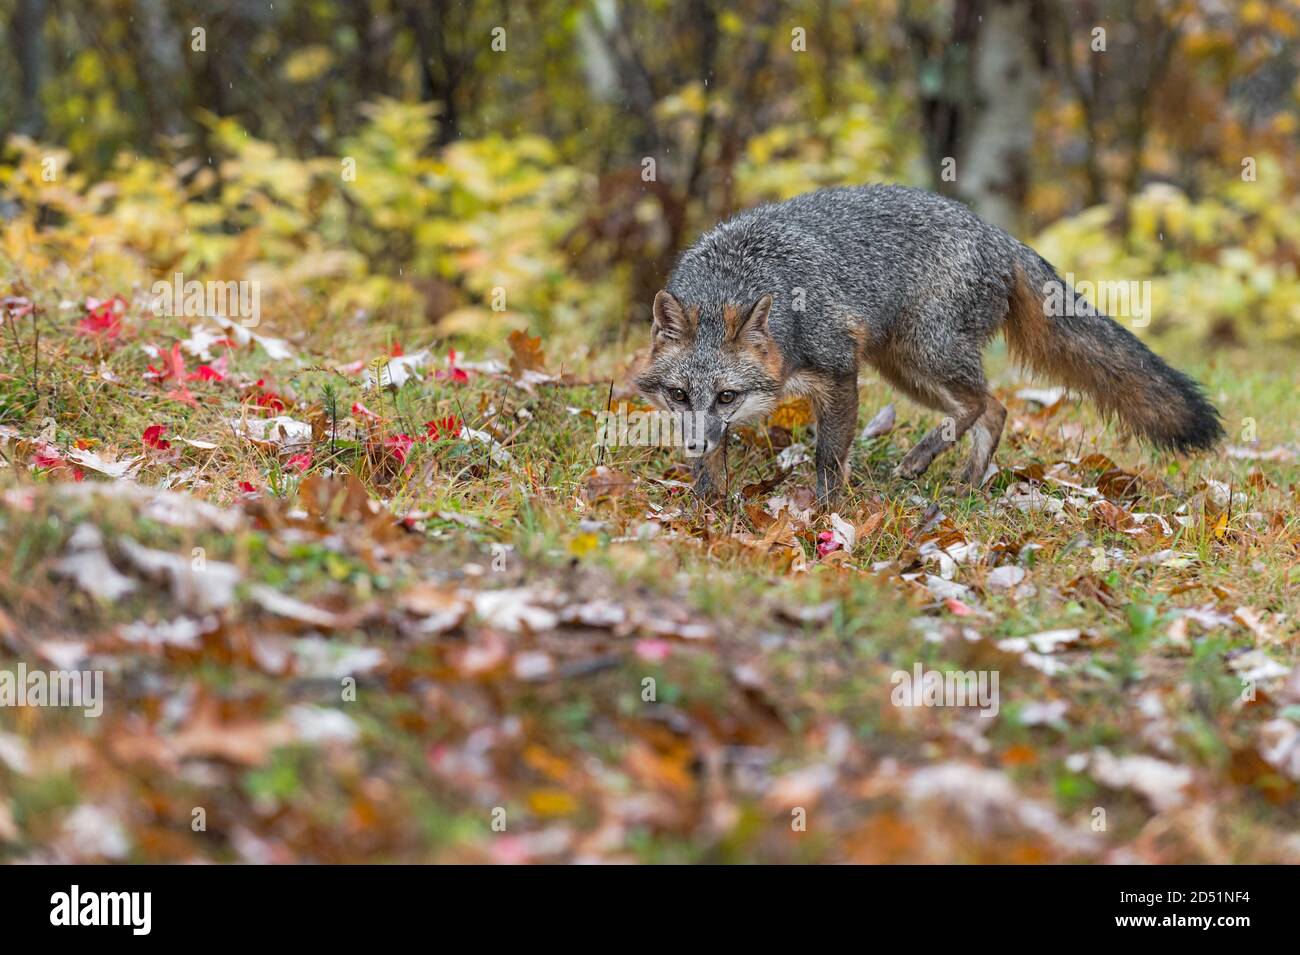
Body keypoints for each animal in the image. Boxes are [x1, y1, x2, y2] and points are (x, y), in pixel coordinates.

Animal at [635, 184, 1223, 501]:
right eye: (679, 396)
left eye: (727, 396)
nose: (691, 442)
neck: (738, 277)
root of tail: (997, 233)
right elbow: (713, 469)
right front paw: (709, 508)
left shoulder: (838, 370)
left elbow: (829, 455)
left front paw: (826, 511)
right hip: (904, 368)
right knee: (995, 410)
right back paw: (967, 482)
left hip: (926, 354)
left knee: (981, 403)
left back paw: (923, 460)